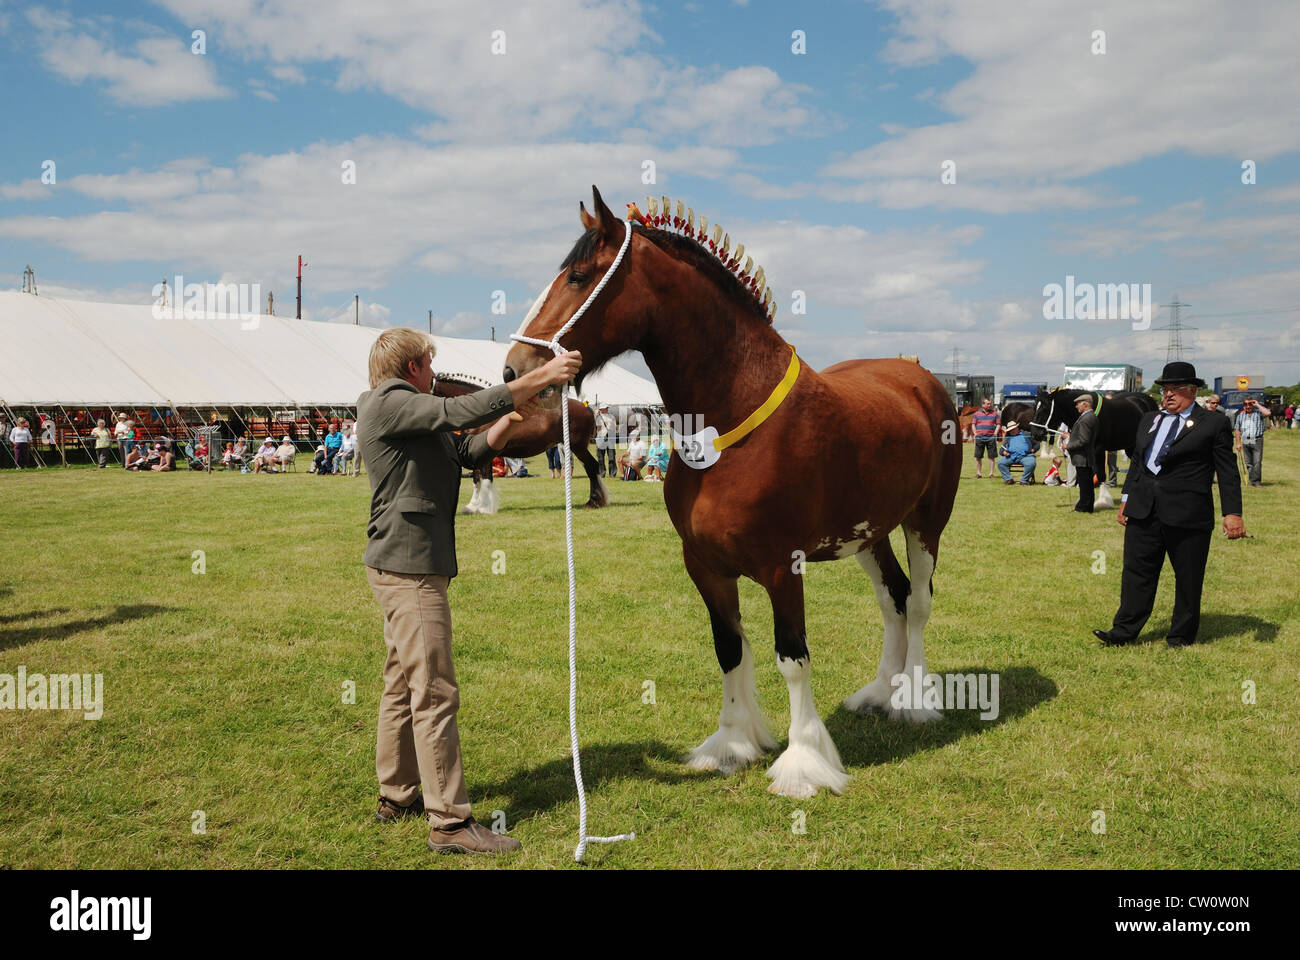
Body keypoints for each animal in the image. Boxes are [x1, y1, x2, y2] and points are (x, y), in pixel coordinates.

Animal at [433, 373, 608, 514]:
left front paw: (486, 508)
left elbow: (486, 480)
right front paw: (472, 507)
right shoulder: (476, 455)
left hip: (578, 447)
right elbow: (477, 480)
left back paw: (594, 501)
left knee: (592, 466)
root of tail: (587, 408)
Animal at [505, 187, 961, 799]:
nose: (514, 370)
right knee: (894, 597)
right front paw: (733, 743)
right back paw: (878, 694)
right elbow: (729, 649)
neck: (732, 419)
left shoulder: (782, 566)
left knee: (918, 603)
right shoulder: (705, 564)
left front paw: (803, 763)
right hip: (868, 533)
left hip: (924, 522)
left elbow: (791, 656)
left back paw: (913, 702)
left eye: (578, 277)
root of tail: (921, 378)